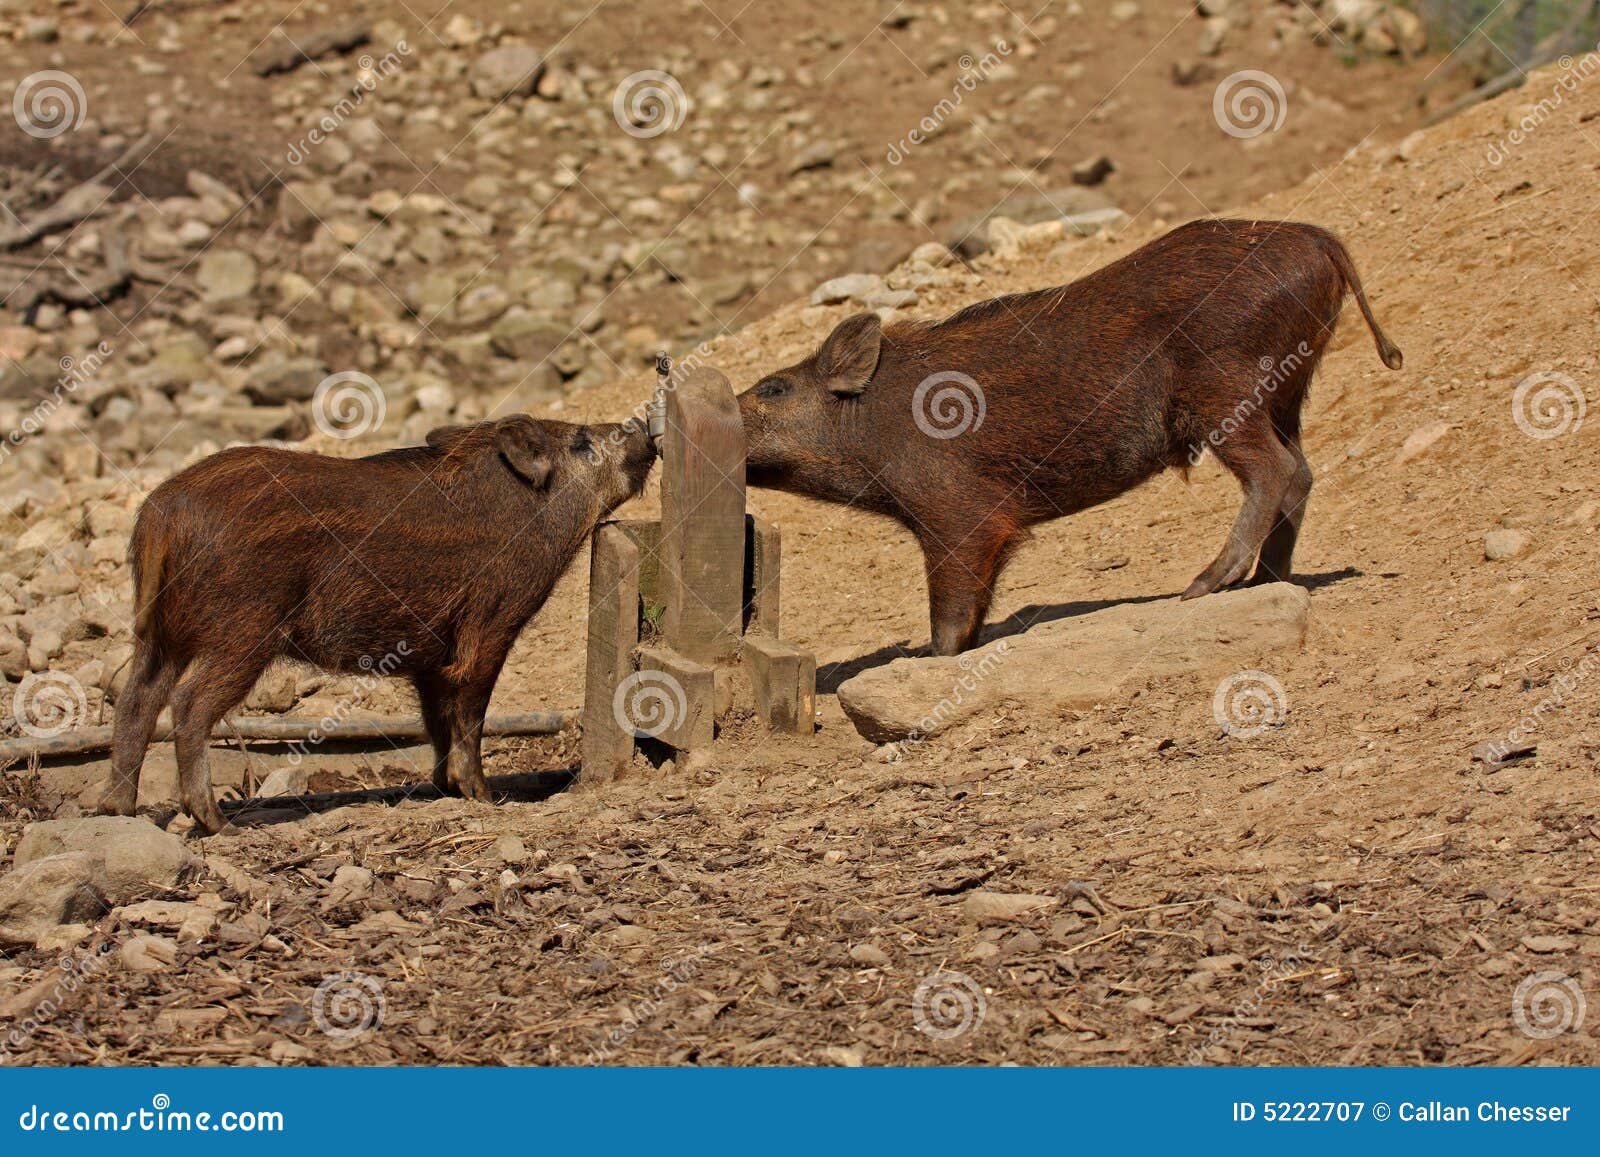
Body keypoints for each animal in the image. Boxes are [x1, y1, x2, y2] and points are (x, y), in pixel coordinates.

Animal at [97, 414, 656, 833]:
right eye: (582, 442)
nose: (645, 426)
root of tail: (161, 513)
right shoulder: (490, 626)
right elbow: (471, 713)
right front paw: (484, 798)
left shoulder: (432, 655)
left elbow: (436, 720)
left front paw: (443, 790)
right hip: (241, 632)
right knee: (187, 705)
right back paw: (217, 823)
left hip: (160, 638)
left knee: (135, 701)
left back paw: (119, 811)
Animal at [737, 218, 1402, 656]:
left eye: (773, 388)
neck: (870, 421)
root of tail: (1321, 239)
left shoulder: (960, 515)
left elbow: (950, 617)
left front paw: (928, 658)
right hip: (1287, 393)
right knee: (1303, 472)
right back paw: (1267, 581)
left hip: (1227, 389)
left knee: (1276, 471)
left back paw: (1201, 587)